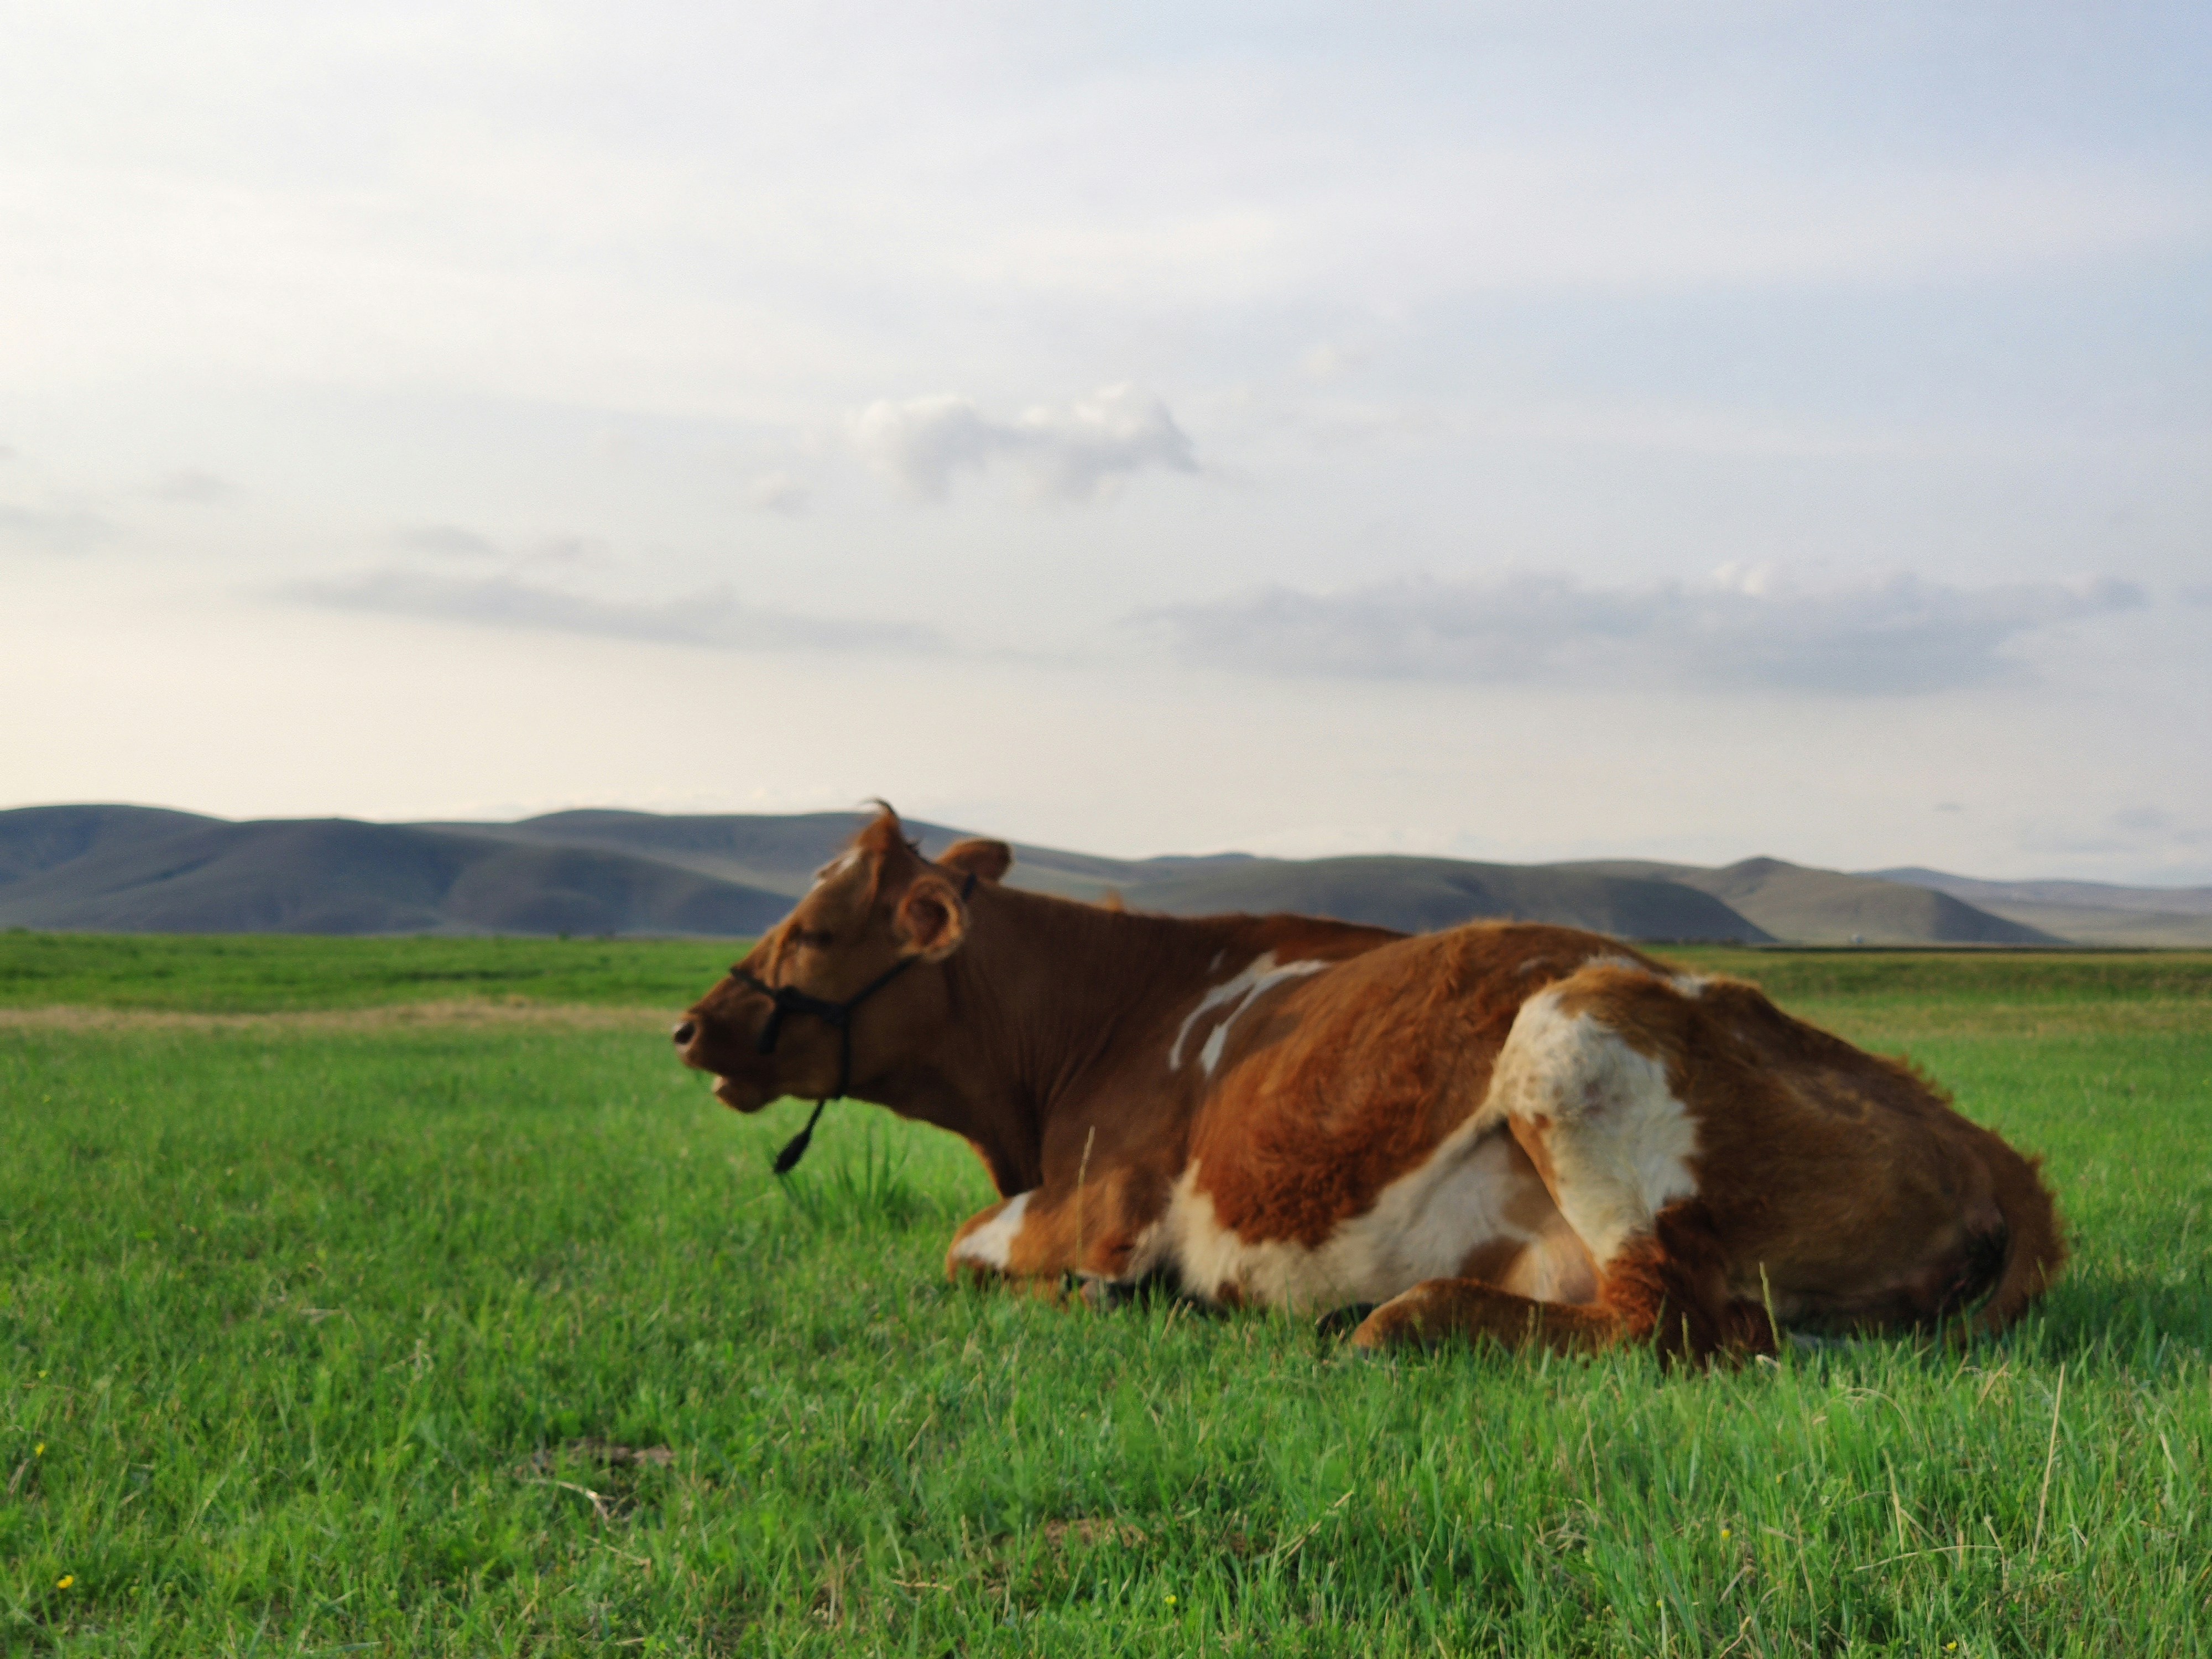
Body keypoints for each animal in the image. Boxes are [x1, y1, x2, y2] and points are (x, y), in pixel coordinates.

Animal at [673, 808, 2064, 1358]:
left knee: (1660, 1326)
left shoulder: (1105, 1205)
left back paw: (1394, 1321)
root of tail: (1985, 1146)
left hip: (1565, 1035)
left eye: (815, 928)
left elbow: (967, 1247)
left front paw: (1090, 1296)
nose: (692, 1025)